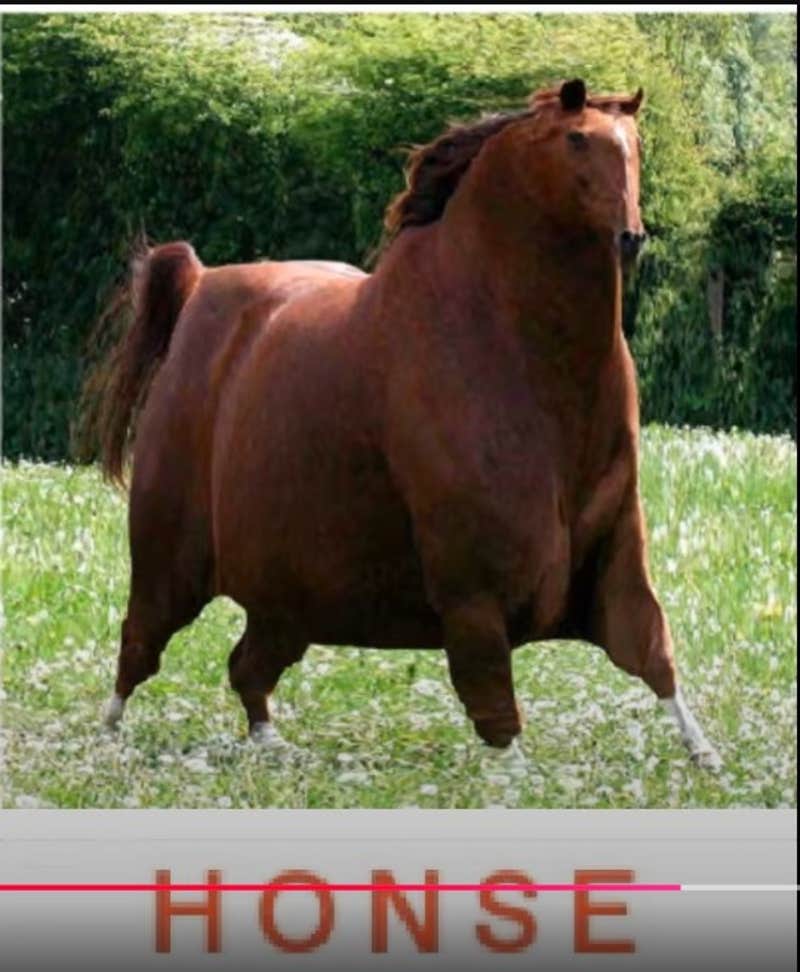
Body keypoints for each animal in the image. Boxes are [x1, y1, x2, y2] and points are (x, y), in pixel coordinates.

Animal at [88, 78, 720, 769]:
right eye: (578, 139)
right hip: (170, 555)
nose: (631, 238)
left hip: (289, 598)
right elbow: (497, 707)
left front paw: (707, 756)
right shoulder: (472, 590)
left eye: (634, 143)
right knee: (139, 642)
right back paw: (107, 738)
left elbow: (651, 648)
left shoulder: (614, 551)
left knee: (247, 665)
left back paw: (270, 743)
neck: (513, 347)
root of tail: (202, 285)